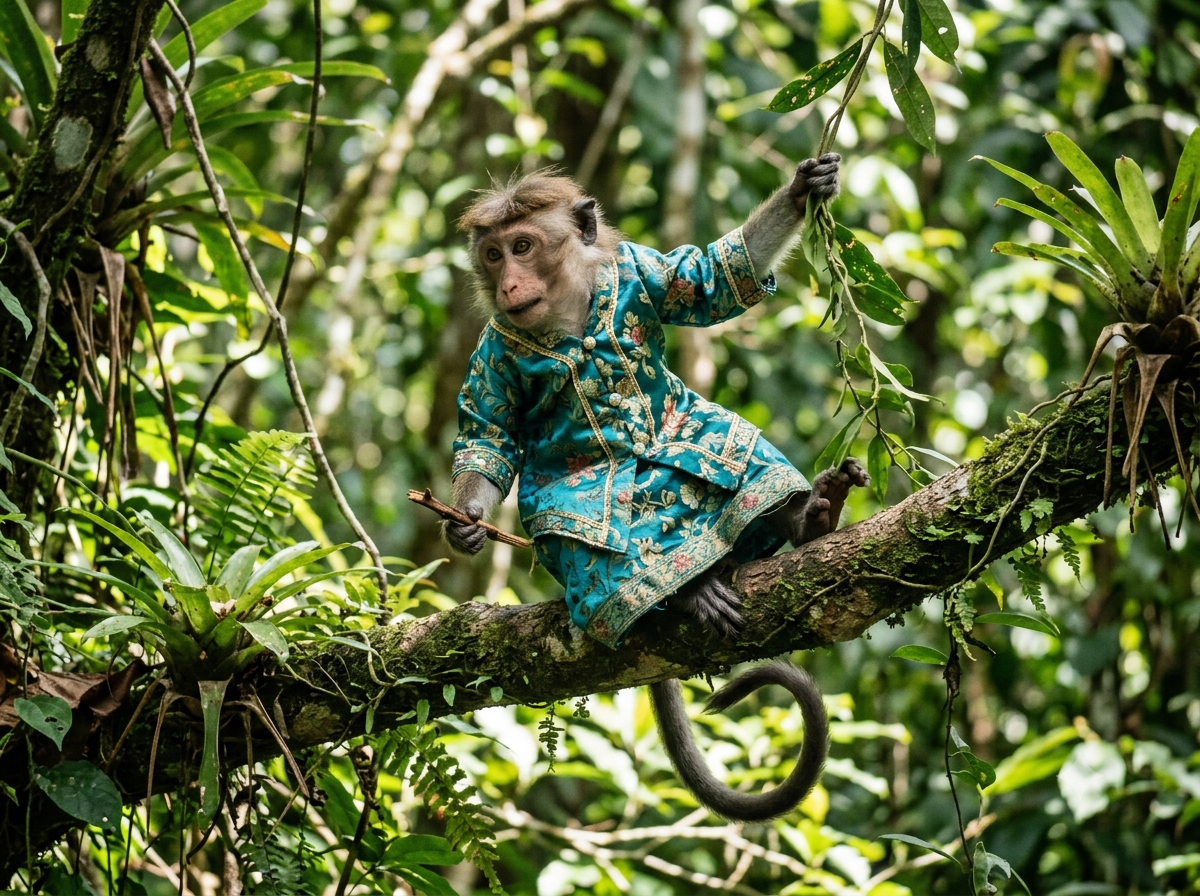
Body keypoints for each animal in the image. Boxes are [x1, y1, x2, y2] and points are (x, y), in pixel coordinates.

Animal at [443, 154, 868, 822]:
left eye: (521, 246)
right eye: (492, 255)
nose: (507, 282)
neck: (569, 316)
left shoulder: (637, 270)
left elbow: (710, 277)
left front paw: (805, 190)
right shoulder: (496, 352)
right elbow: (490, 436)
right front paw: (465, 517)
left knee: (732, 444)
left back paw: (807, 517)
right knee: (595, 556)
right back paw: (687, 590)